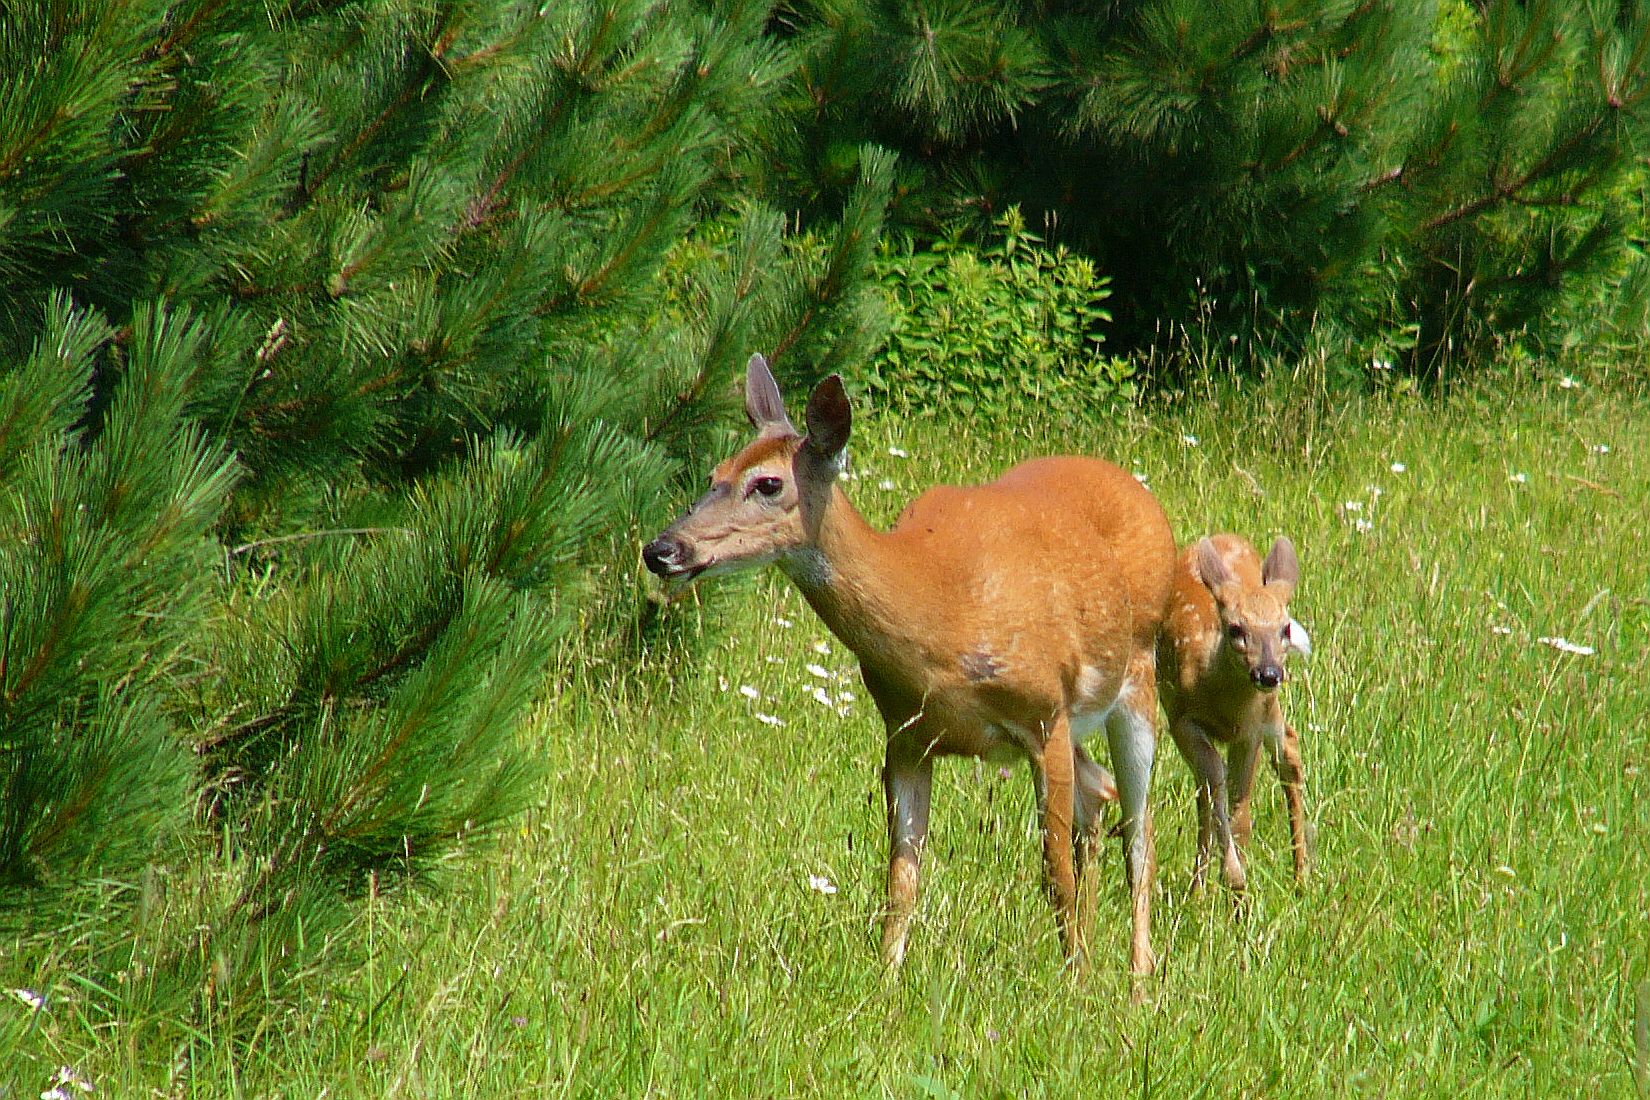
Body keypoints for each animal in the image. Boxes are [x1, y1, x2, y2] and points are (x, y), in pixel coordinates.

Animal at [643, 354, 1177, 981]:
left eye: (769, 484)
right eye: (713, 475)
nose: (661, 549)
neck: (942, 613)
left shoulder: (1044, 715)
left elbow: (1054, 875)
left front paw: (1071, 985)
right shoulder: (905, 734)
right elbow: (901, 881)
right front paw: (886, 984)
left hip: (1136, 676)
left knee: (1140, 833)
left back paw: (1138, 978)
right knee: (1101, 797)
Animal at [1157, 534, 1312, 897]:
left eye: (1285, 629)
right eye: (1235, 629)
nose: (1268, 674)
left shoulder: (1250, 730)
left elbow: (1241, 811)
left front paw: (1237, 889)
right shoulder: (1181, 720)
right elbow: (1214, 781)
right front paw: (1233, 880)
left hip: (1270, 710)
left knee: (1288, 751)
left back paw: (1301, 878)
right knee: (1205, 789)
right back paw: (1198, 890)